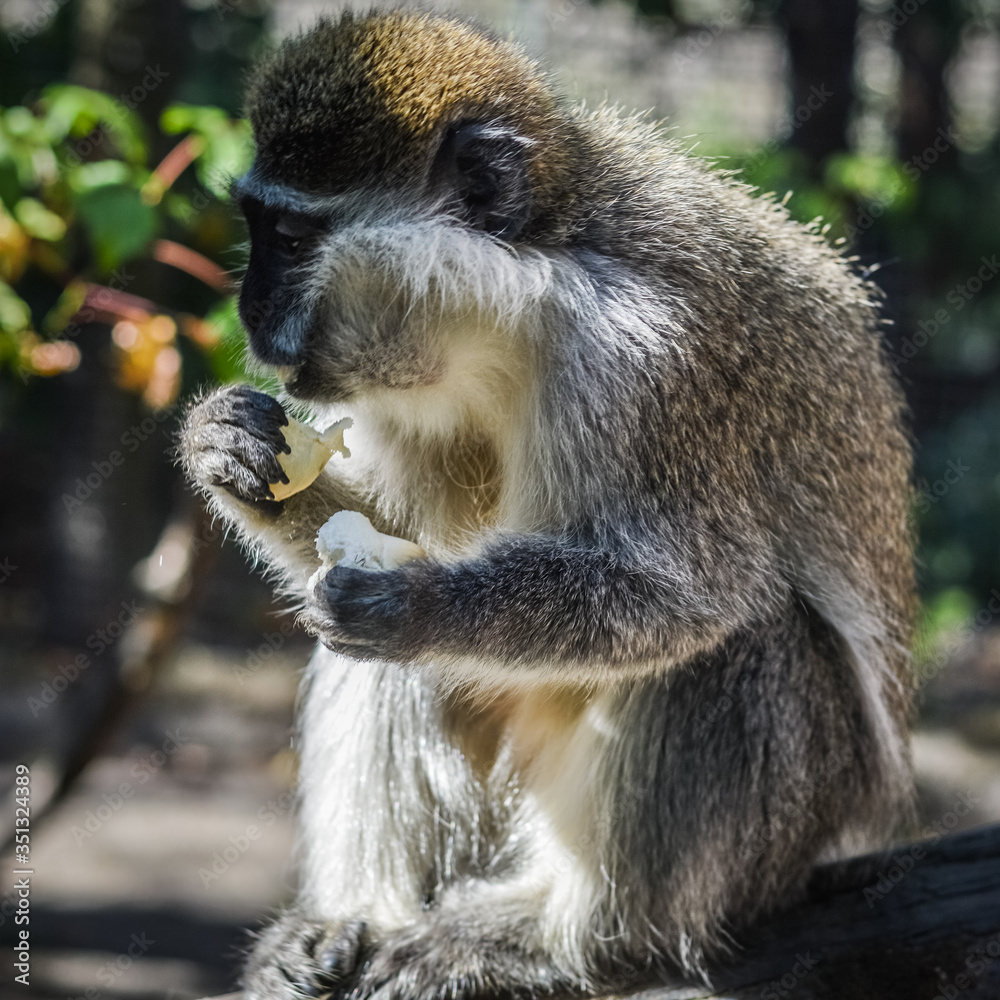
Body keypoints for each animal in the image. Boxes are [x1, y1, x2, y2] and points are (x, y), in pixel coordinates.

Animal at [179, 9, 917, 999]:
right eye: (256, 227)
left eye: (291, 237)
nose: (249, 309)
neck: (516, 298)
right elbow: (386, 534)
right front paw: (228, 449)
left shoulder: (648, 362)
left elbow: (688, 597)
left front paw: (419, 603)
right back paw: (353, 920)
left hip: (782, 827)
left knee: (737, 640)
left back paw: (572, 938)